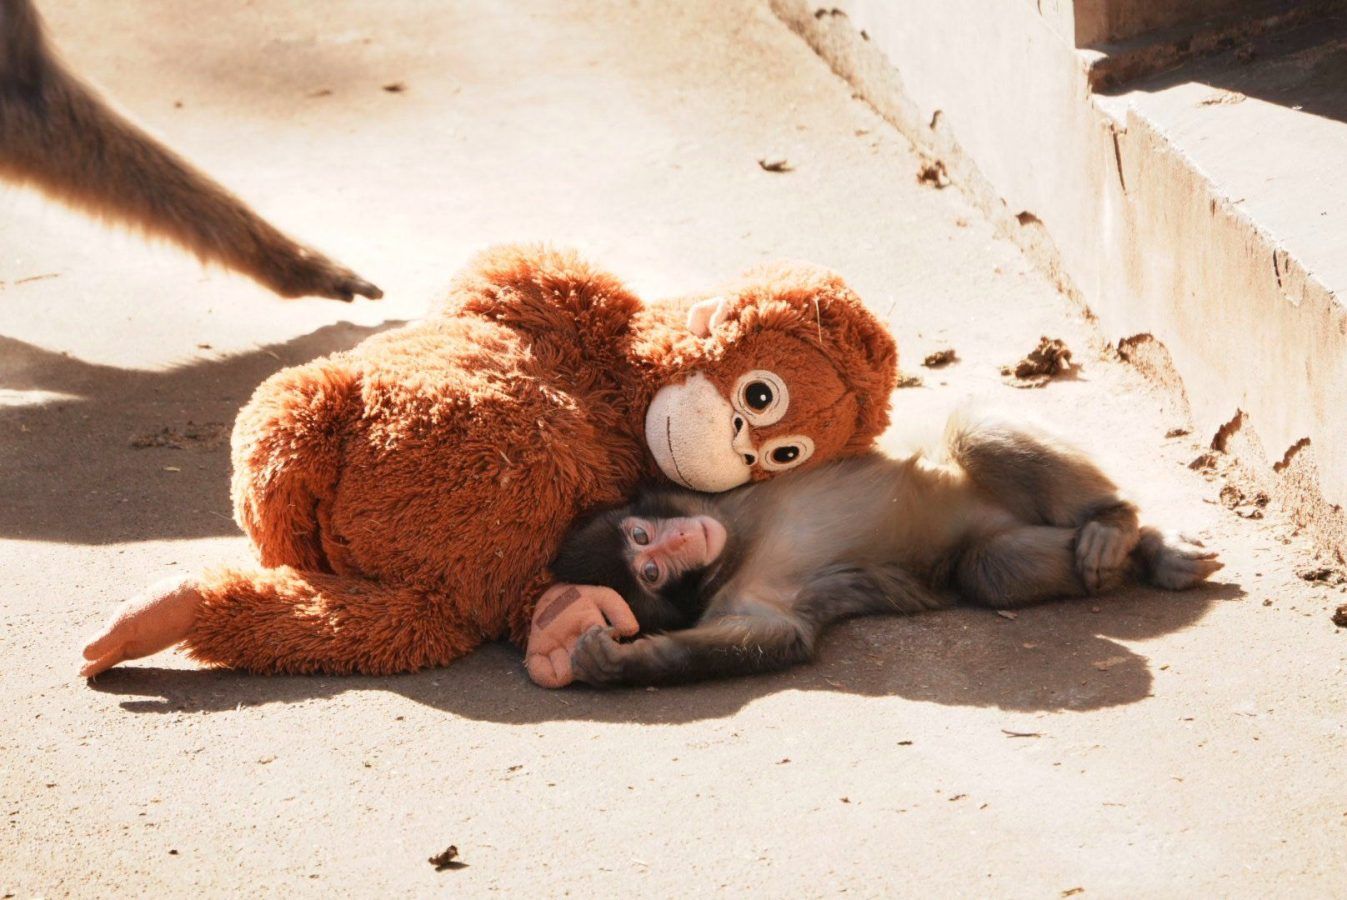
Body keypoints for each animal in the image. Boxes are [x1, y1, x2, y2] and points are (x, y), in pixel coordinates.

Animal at [550, 409, 1223, 686]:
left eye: (643, 536)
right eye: (650, 571)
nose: (683, 538)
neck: (736, 544)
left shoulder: (719, 492)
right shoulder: (741, 597)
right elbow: (776, 634)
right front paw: (620, 663)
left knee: (975, 436)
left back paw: (1119, 524)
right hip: (998, 542)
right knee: (989, 569)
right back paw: (1137, 550)